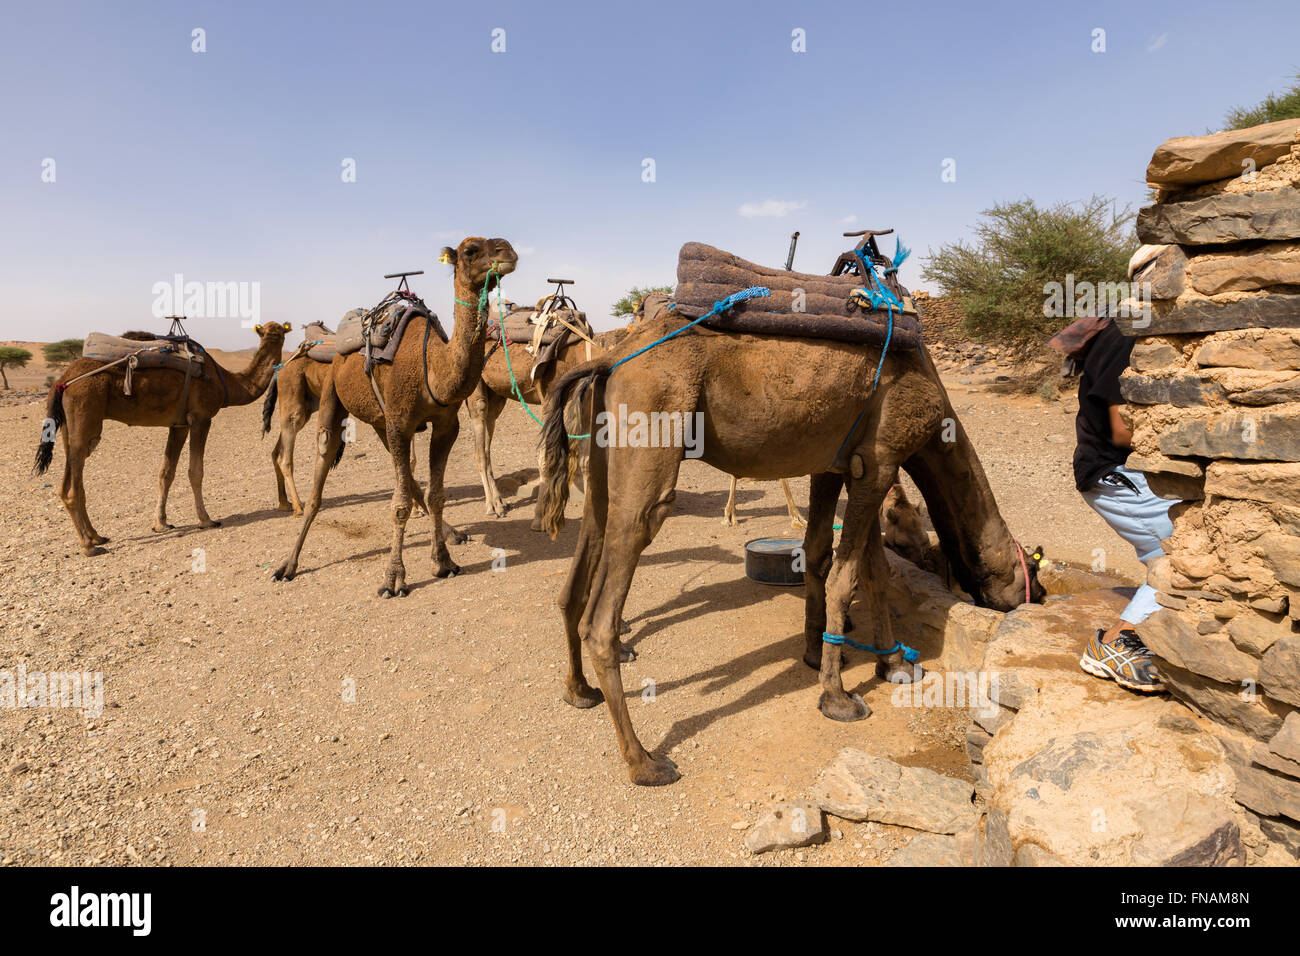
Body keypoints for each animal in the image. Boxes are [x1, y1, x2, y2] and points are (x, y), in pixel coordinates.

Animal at [33, 322, 290, 555]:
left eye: (278, 331)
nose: (275, 336)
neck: (225, 382)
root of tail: (63, 380)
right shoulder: (201, 418)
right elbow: (195, 471)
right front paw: (206, 520)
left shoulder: (179, 425)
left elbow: (166, 472)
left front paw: (161, 523)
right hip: (85, 413)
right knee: (71, 487)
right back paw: (88, 546)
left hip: (69, 428)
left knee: (75, 479)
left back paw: (97, 536)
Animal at [271, 236, 518, 595]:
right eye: (470, 250)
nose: (507, 251)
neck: (434, 367)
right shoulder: (400, 422)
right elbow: (399, 505)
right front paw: (393, 578)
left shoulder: (445, 425)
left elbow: (436, 494)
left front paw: (444, 562)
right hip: (333, 394)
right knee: (321, 468)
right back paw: (288, 563)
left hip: (379, 419)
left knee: (407, 476)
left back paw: (453, 533)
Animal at [537, 316, 1042, 786]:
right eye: (1032, 575)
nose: (1033, 598)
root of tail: (609, 359)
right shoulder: (882, 458)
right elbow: (847, 576)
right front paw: (839, 697)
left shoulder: (843, 464)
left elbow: (842, 562)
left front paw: (880, 662)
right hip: (653, 424)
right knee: (608, 598)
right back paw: (645, 762)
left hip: (603, 454)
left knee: (585, 552)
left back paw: (579, 690)